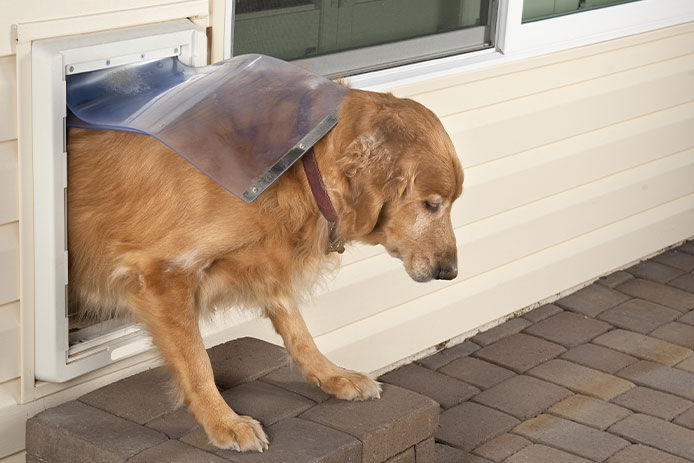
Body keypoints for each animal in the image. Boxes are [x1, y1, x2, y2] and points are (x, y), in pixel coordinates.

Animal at [68, 88, 464, 454]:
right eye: (431, 204)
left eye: (452, 202)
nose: (451, 272)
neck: (296, 166)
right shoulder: (162, 273)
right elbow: (197, 362)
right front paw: (223, 421)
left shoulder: (266, 262)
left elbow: (298, 330)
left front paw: (332, 375)